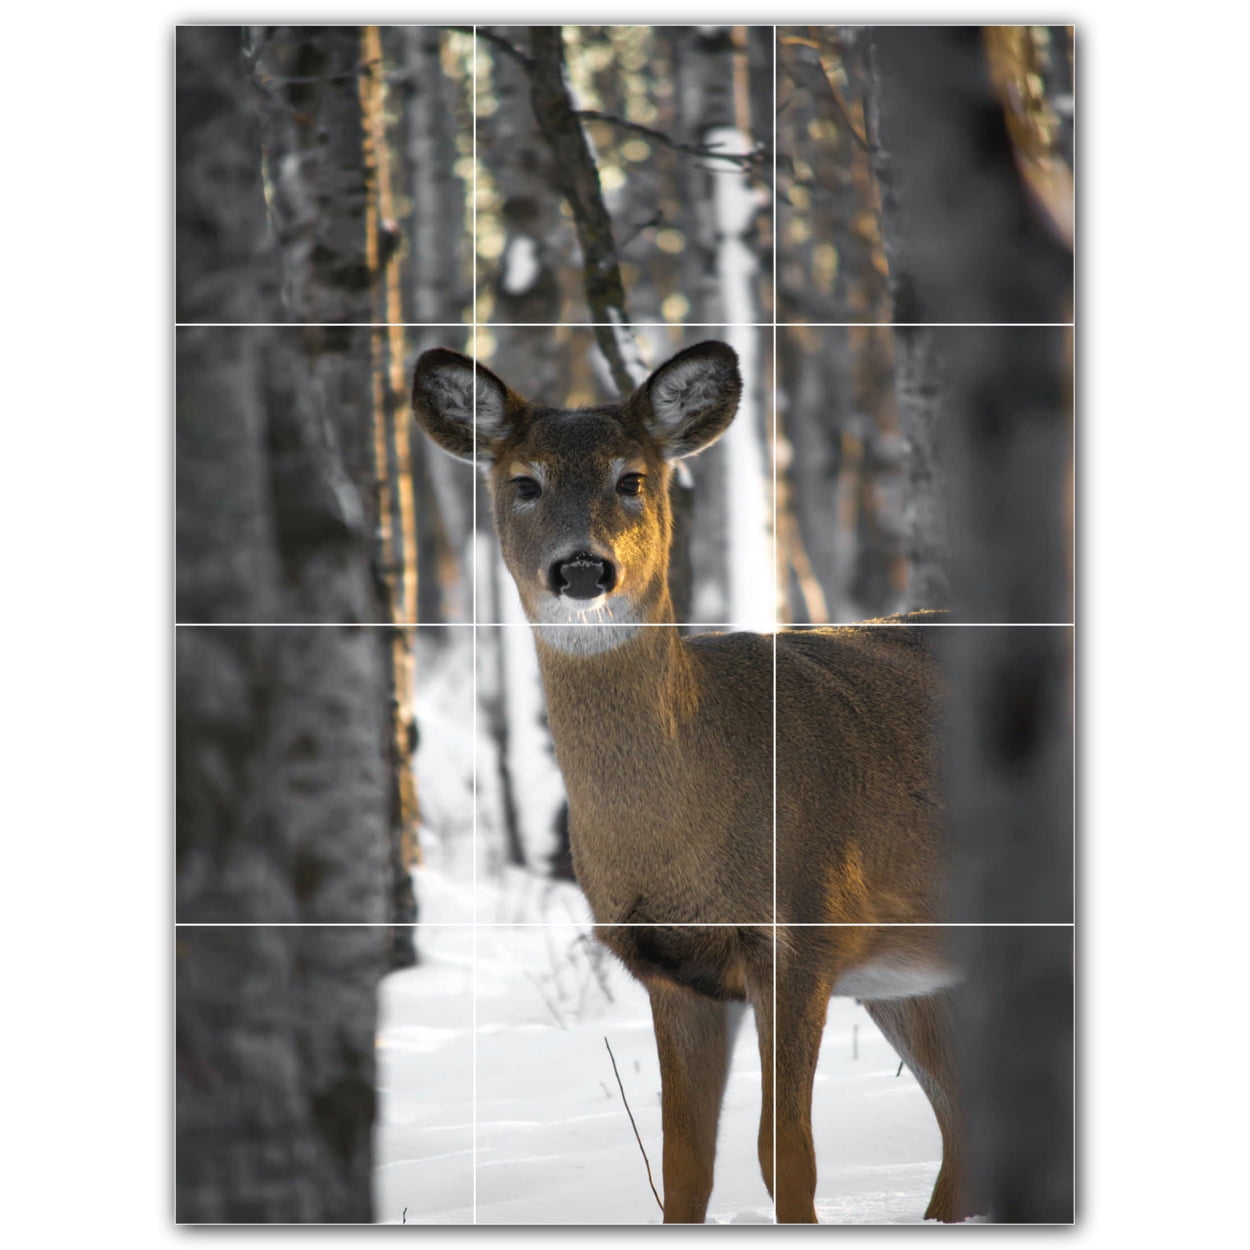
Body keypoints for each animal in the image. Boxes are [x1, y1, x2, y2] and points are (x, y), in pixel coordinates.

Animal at [412, 340, 974, 1224]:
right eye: (524, 482)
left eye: (632, 478)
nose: (583, 568)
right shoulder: (673, 972)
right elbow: (684, 1165)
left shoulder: (801, 928)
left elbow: (786, 1152)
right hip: (911, 974)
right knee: (963, 1130)